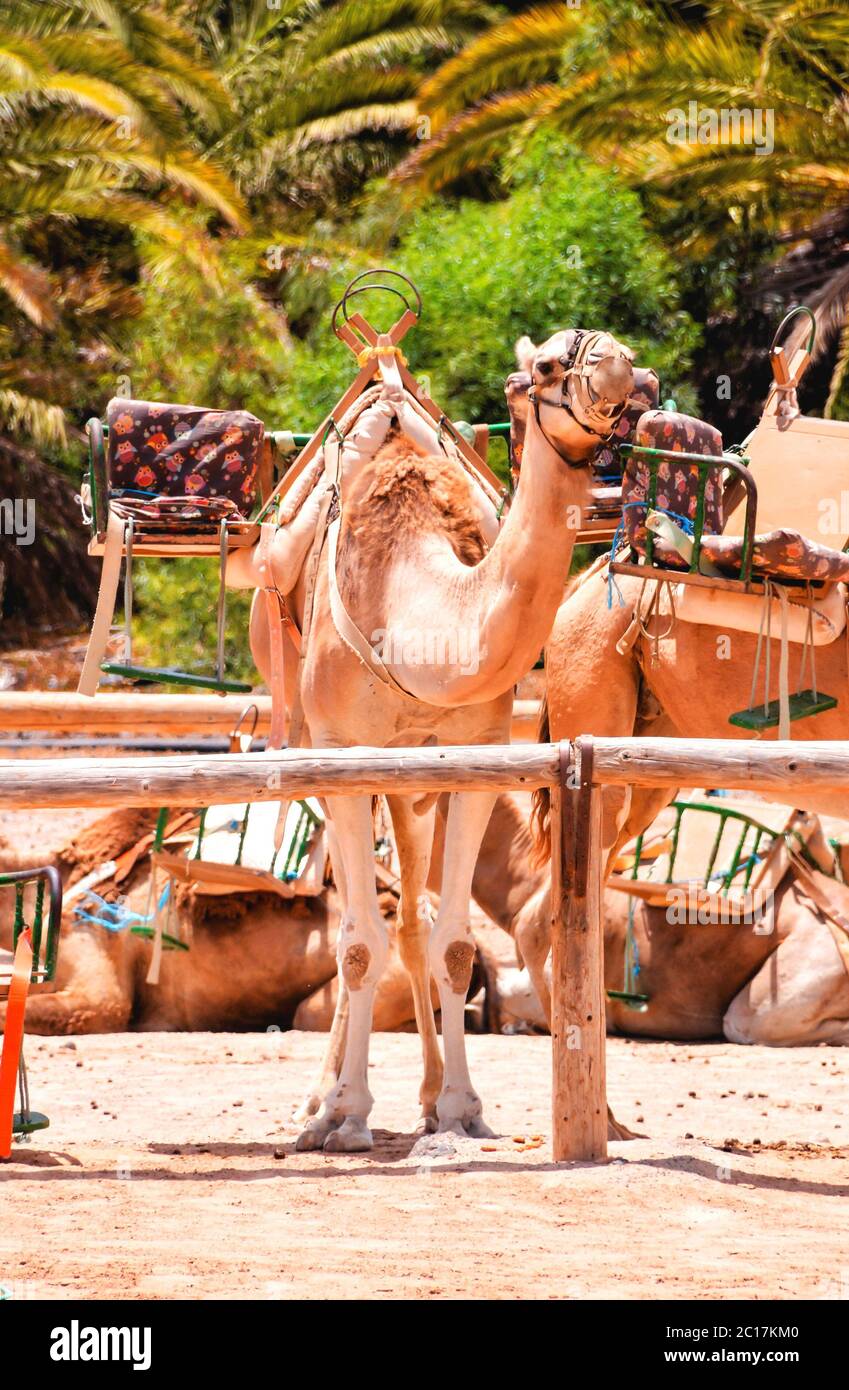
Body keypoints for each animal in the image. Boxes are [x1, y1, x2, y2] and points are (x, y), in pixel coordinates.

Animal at [226, 329, 635, 1152]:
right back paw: (319, 1106)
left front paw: (458, 1107)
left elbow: (452, 944)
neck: (410, 599)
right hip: (323, 753)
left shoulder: (475, 761)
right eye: (547, 364)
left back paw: (417, 1094)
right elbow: (355, 943)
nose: (619, 362)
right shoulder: (346, 757)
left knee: (412, 921)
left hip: (413, 787)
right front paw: (346, 1115)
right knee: (364, 922)